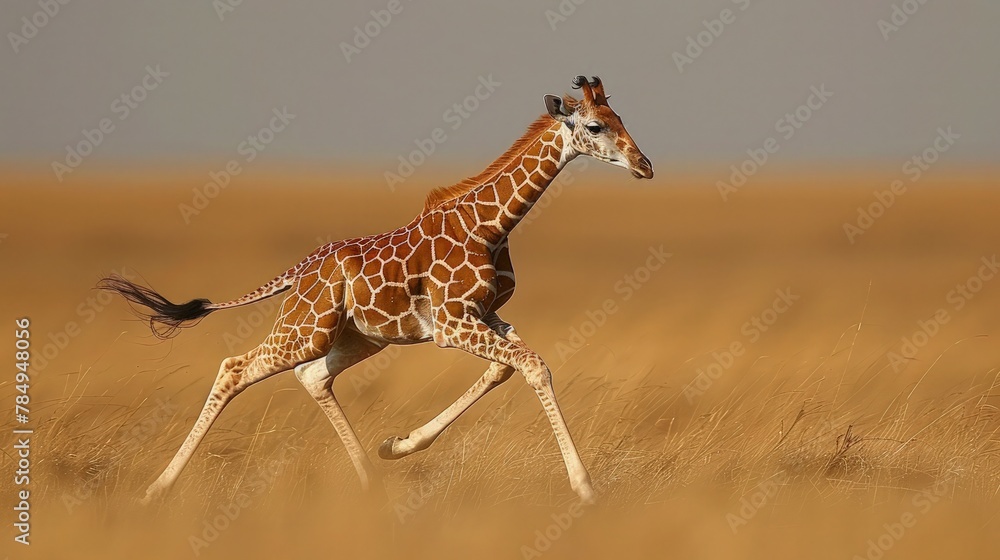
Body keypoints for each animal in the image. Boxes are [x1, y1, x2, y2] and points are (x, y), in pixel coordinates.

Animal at [100, 76, 653, 505]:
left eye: (622, 118)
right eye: (596, 126)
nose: (645, 166)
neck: (491, 227)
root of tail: (297, 273)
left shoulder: (483, 315)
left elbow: (504, 368)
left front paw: (398, 444)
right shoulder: (452, 323)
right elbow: (534, 366)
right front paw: (584, 486)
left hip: (360, 336)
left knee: (312, 376)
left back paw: (370, 480)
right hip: (307, 328)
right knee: (235, 367)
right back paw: (157, 488)